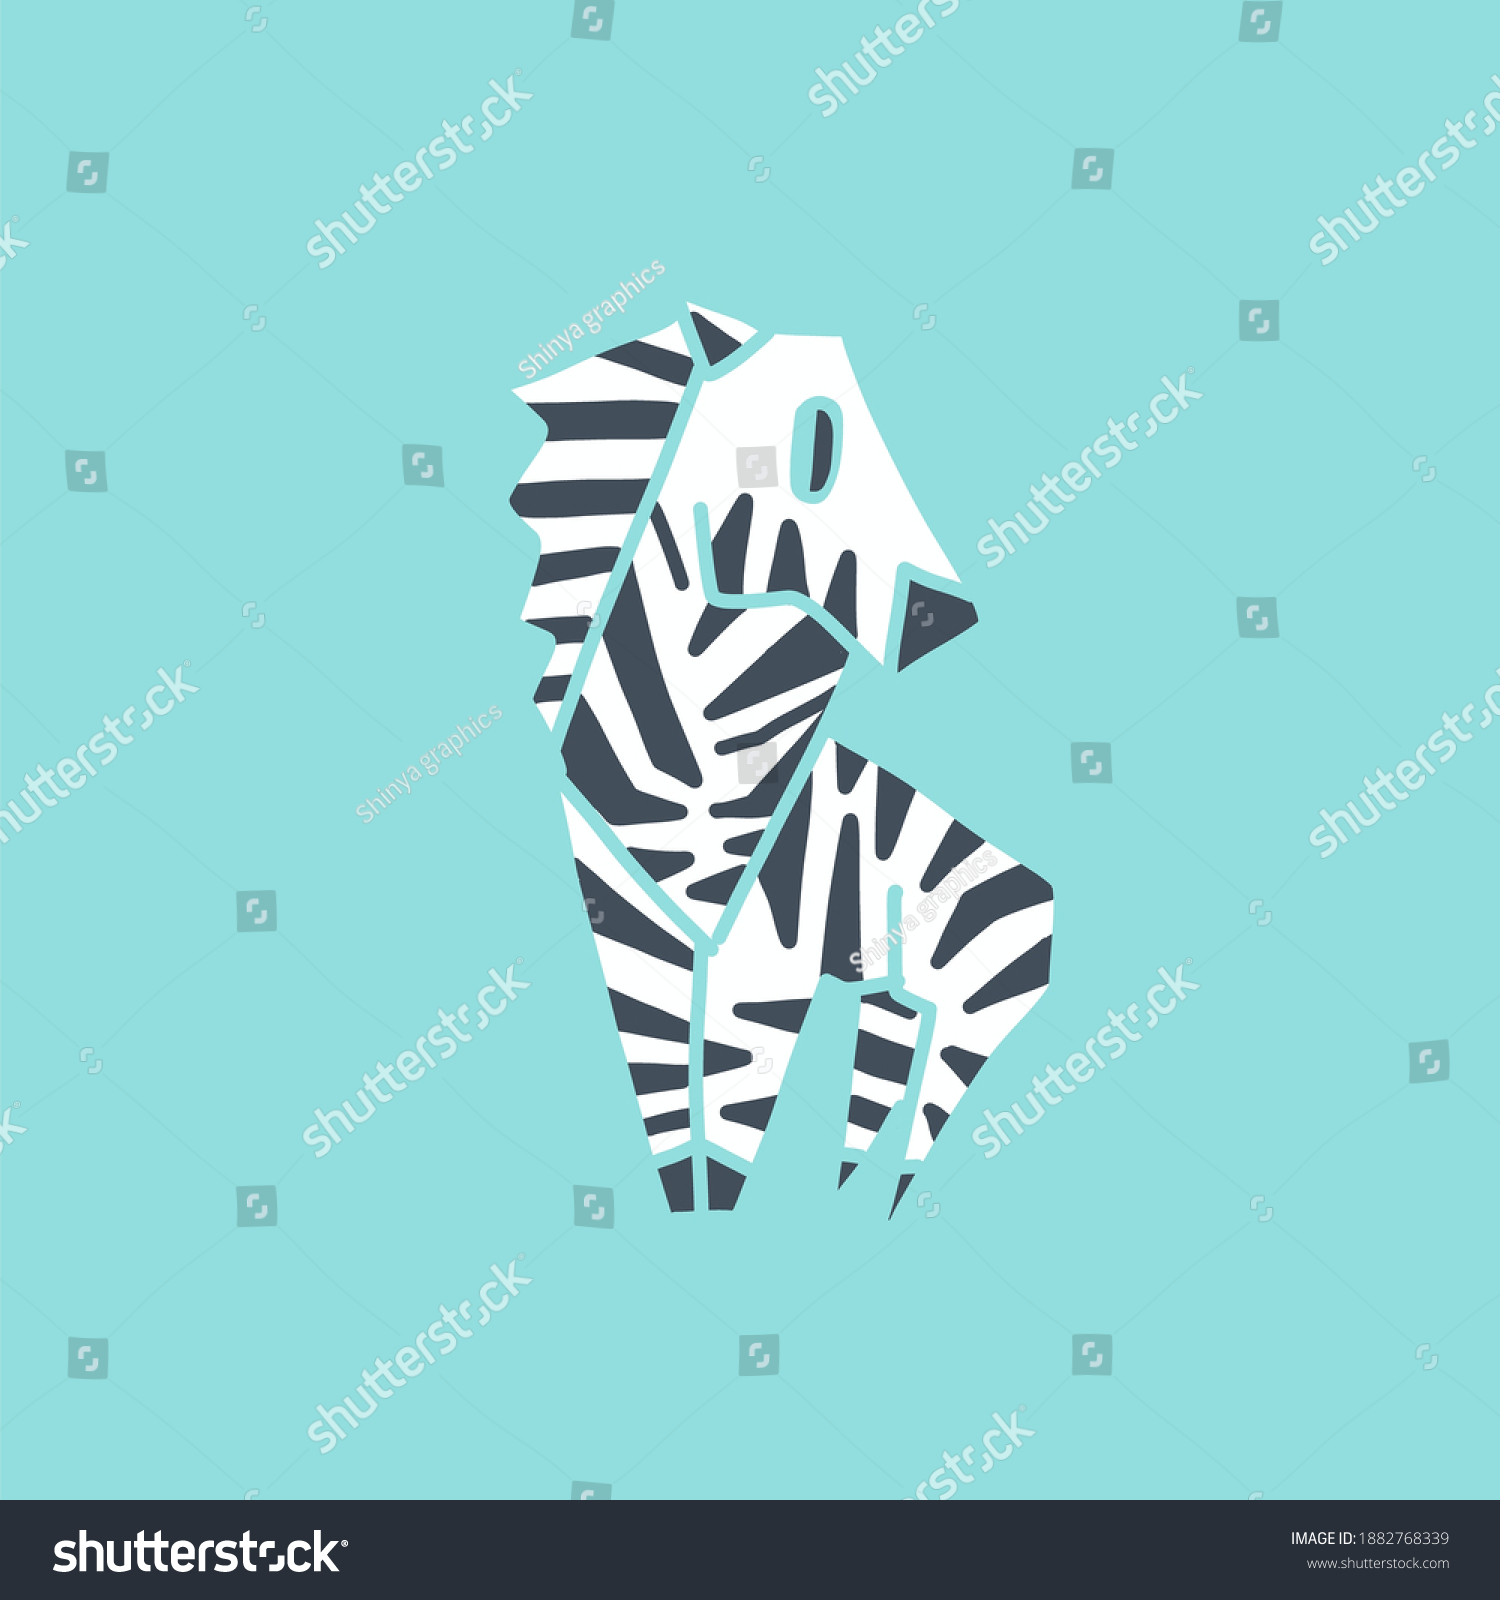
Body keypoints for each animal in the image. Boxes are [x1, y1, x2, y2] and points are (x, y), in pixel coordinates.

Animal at [509, 303, 1054, 1216]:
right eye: (815, 450)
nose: (948, 615)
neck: (695, 770)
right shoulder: (629, 940)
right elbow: (674, 1131)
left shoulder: (766, 970)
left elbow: (729, 1141)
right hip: (891, 977)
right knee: (885, 1073)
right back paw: (850, 1193)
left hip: (975, 982)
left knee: (936, 1090)